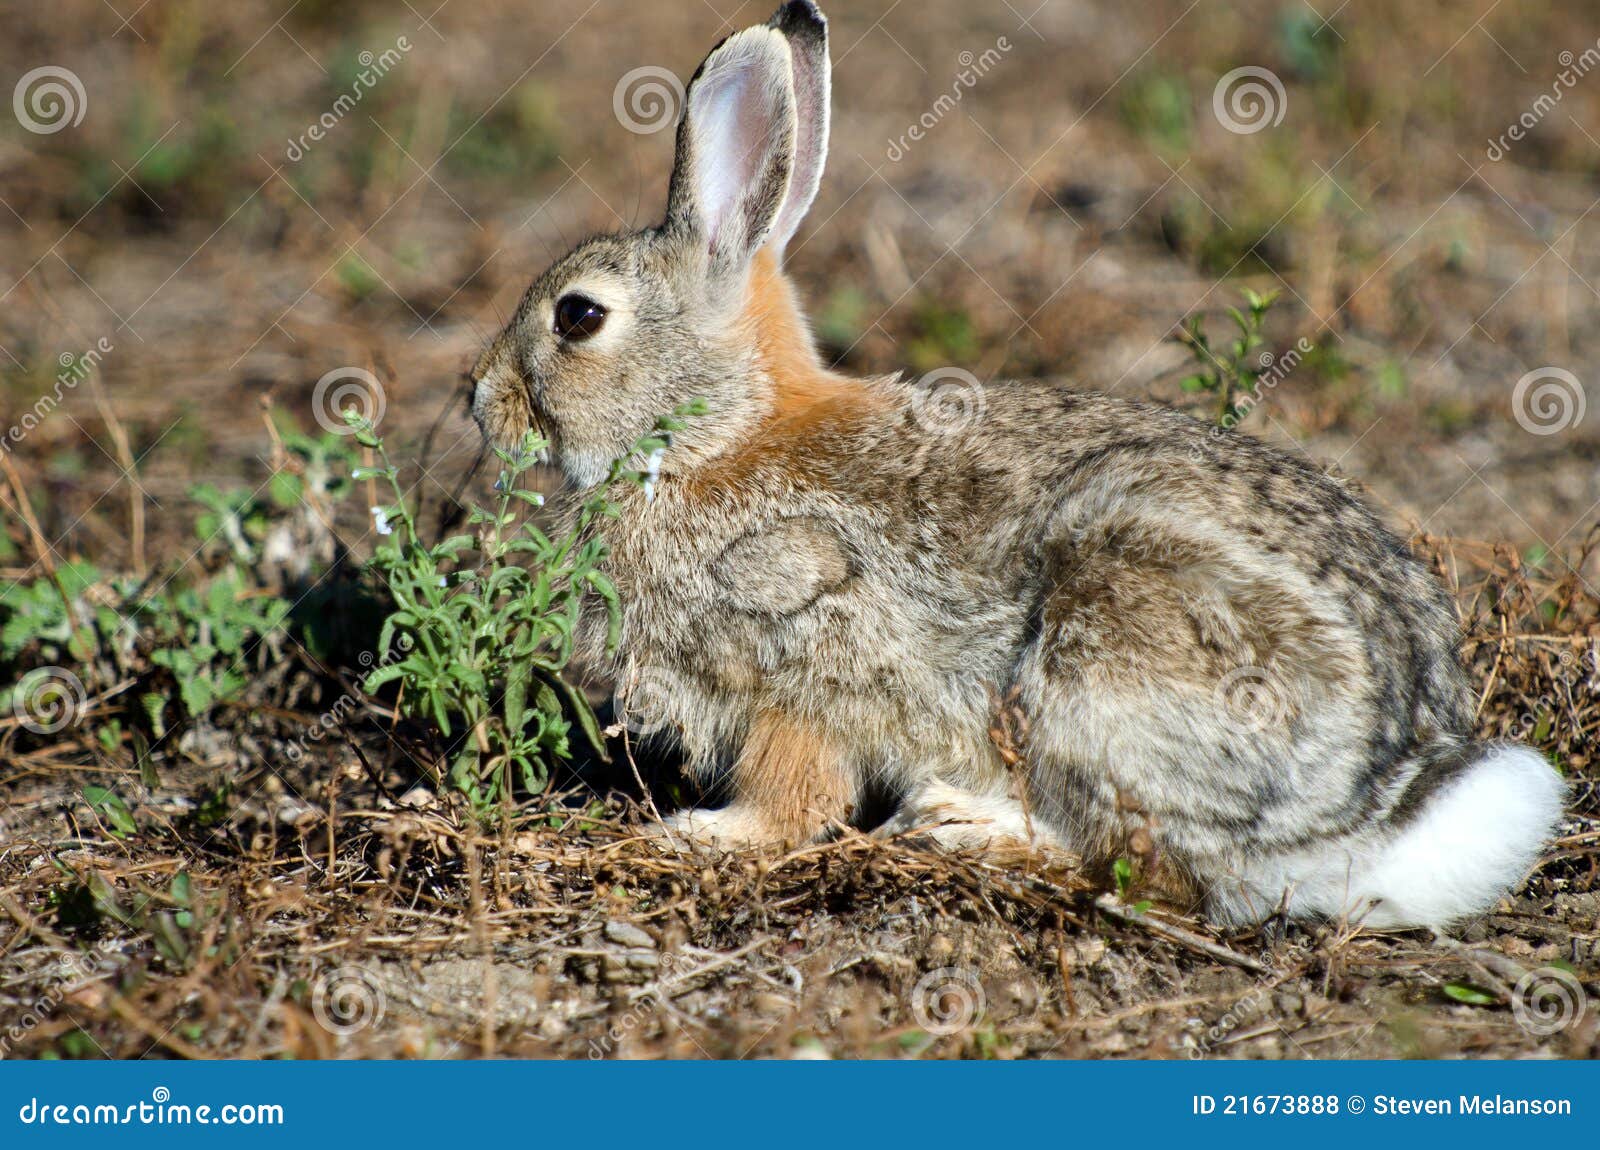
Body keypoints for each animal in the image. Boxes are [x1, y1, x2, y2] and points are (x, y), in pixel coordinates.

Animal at [470, 1, 1565, 928]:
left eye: (578, 316)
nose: (479, 399)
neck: (716, 433)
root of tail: (1360, 816)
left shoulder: (803, 676)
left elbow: (797, 793)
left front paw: (708, 835)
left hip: (1100, 674)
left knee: (1148, 868)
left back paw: (969, 828)